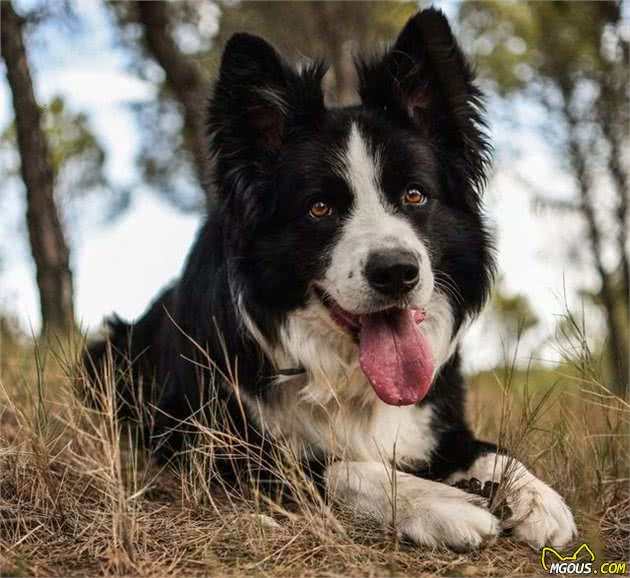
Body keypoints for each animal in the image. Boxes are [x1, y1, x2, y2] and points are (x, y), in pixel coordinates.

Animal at [85, 10, 576, 548]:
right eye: (319, 208)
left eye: (414, 195)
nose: (396, 272)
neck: (345, 373)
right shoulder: (223, 451)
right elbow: (342, 467)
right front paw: (442, 503)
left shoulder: (439, 423)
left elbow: (492, 451)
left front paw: (538, 498)